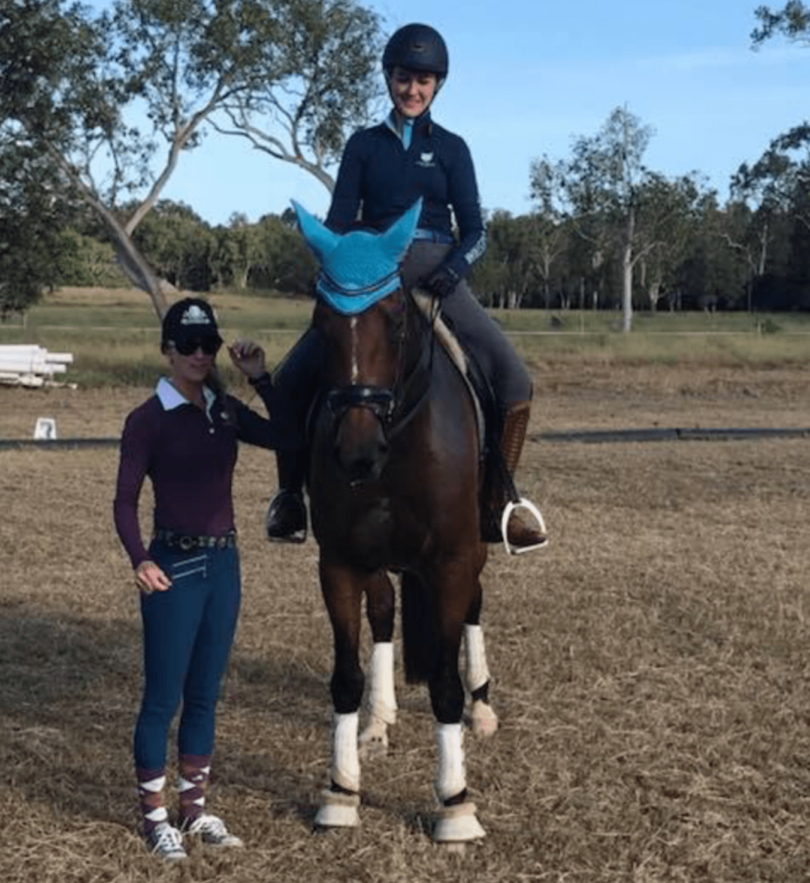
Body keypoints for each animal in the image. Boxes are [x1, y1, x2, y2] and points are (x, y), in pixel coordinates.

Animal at [292, 199, 496, 843]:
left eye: (397, 323)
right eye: (322, 324)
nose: (357, 452)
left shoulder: (452, 558)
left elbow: (446, 685)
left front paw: (455, 802)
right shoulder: (339, 561)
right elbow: (345, 675)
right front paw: (340, 792)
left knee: (475, 607)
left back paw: (484, 707)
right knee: (383, 612)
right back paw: (378, 721)